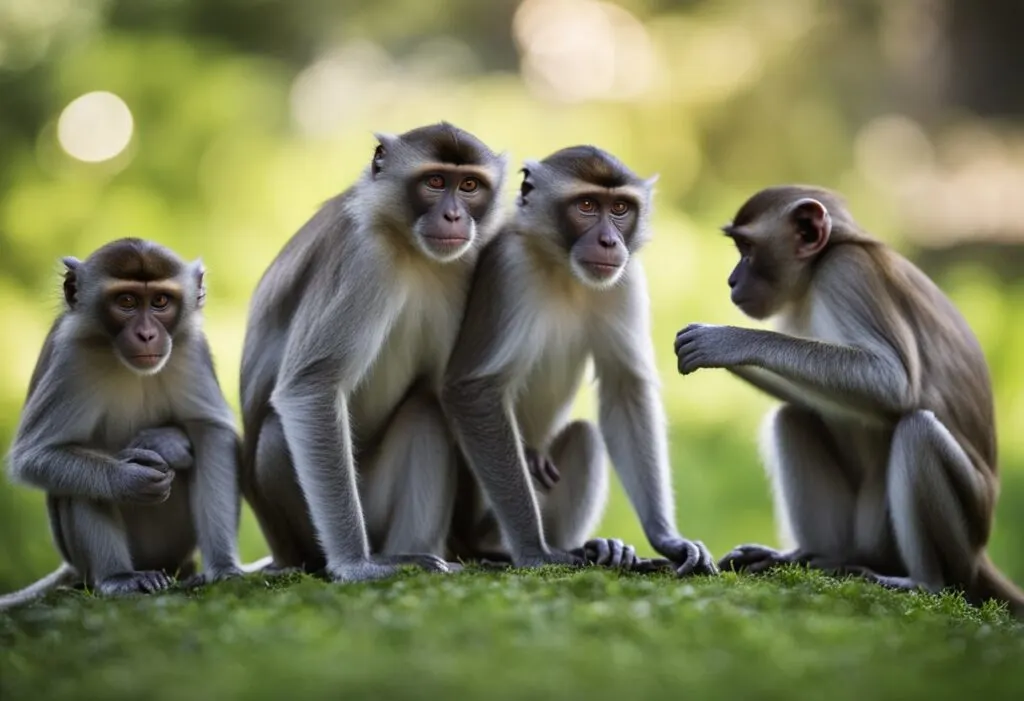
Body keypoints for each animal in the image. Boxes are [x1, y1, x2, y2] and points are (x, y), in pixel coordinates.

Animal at [0, 238, 243, 610]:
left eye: (160, 301)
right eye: (126, 301)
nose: (146, 334)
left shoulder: (189, 347)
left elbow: (210, 432)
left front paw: (225, 568)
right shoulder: (70, 358)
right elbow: (37, 456)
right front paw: (130, 478)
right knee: (74, 482)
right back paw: (120, 577)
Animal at [239, 122, 513, 583]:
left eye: (469, 185)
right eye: (435, 181)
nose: (454, 216)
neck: (412, 250)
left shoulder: (471, 261)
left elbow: (453, 395)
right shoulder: (363, 258)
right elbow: (312, 388)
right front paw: (355, 564)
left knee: (424, 412)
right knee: (278, 435)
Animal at [441, 146, 718, 576]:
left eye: (619, 207)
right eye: (587, 205)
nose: (608, 241)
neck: (564, 270)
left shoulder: (624, 277)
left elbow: (625, 386)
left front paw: (666, 538)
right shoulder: (509, 267)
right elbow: (475, 391)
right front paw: (534, 549)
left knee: (586, 438)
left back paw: (600, 548)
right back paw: (502, 547)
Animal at [674, 184, 1024, 618]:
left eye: (747, 248)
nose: (732, 280)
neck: (816, 272)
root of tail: (980, 554)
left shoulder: (847, 273)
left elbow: (894, 383)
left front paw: (724, 341)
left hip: (949, 529)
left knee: (917, 431)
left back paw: (924, 582)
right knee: (794, 416)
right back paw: (806, 556)